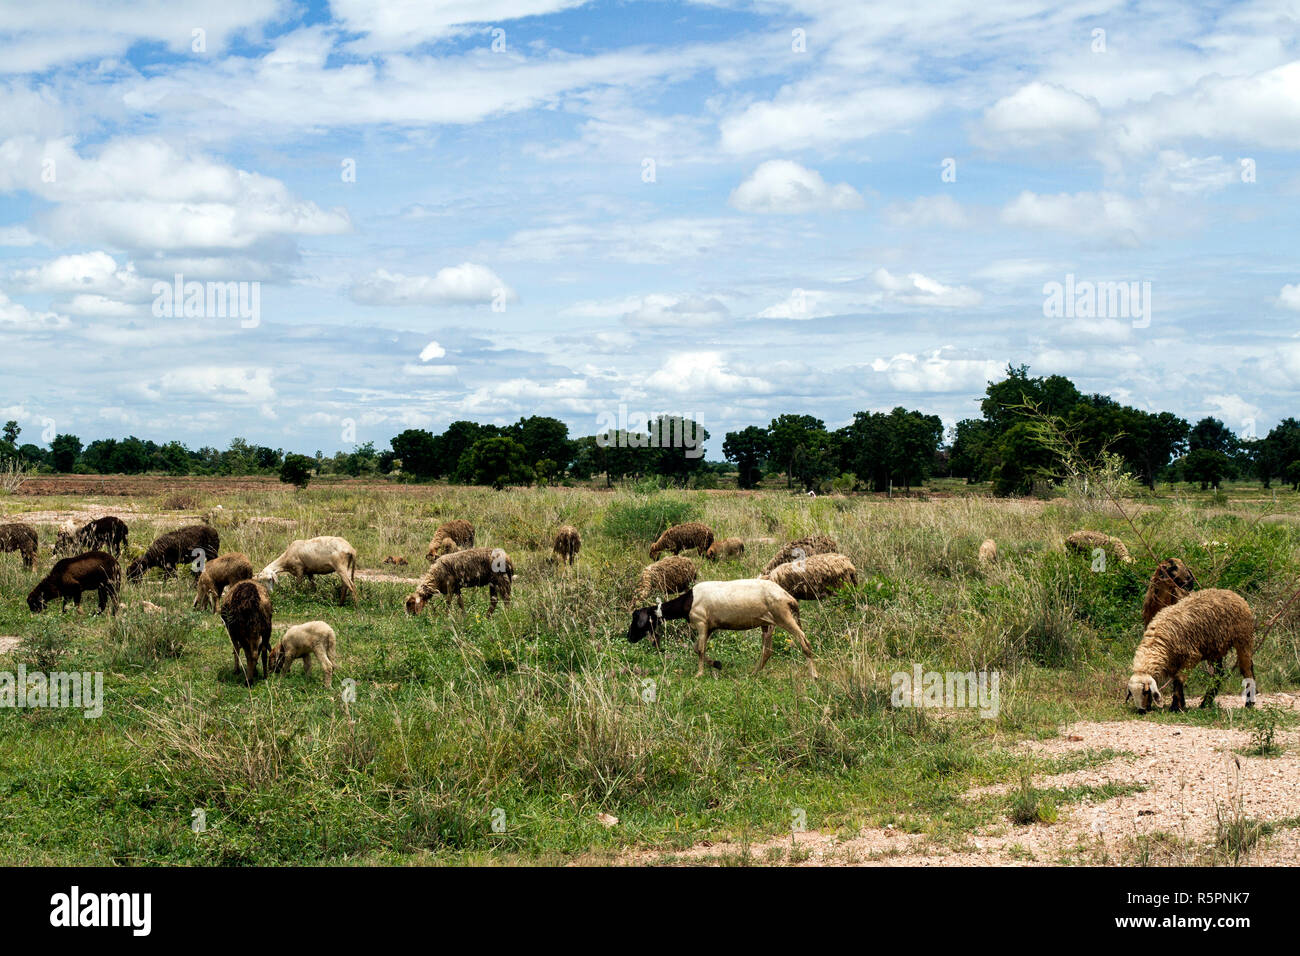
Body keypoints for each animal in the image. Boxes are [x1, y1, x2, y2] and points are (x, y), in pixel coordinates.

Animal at [627, 579, 817, 678]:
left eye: (635, 618)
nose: (629, 637)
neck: (688, 601)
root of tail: (788, 597)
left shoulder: (701, 622)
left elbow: (700, 649)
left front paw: (699, 673)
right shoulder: (710, 627)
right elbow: (696, 648)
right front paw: (717, 664)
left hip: (783, 616)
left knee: (804, 641)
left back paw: (814, 675)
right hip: (767, 623)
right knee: (767, 650)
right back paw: (753, 673)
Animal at [1126, 589, 1255, 713]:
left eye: (1145, 692)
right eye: (1132, 693)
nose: (1141, 711)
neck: (1158, 642)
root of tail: (1234, 594)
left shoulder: (1192, 656)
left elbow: (1178, 679)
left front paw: (1175, 707)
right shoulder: (1173, 662)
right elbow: (1176, 682)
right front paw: (1181, 704)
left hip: (1243, 639)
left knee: (1246, 669)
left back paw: (1249, 703)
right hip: (1215, 648)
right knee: (1218, 674)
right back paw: (1205, 703)